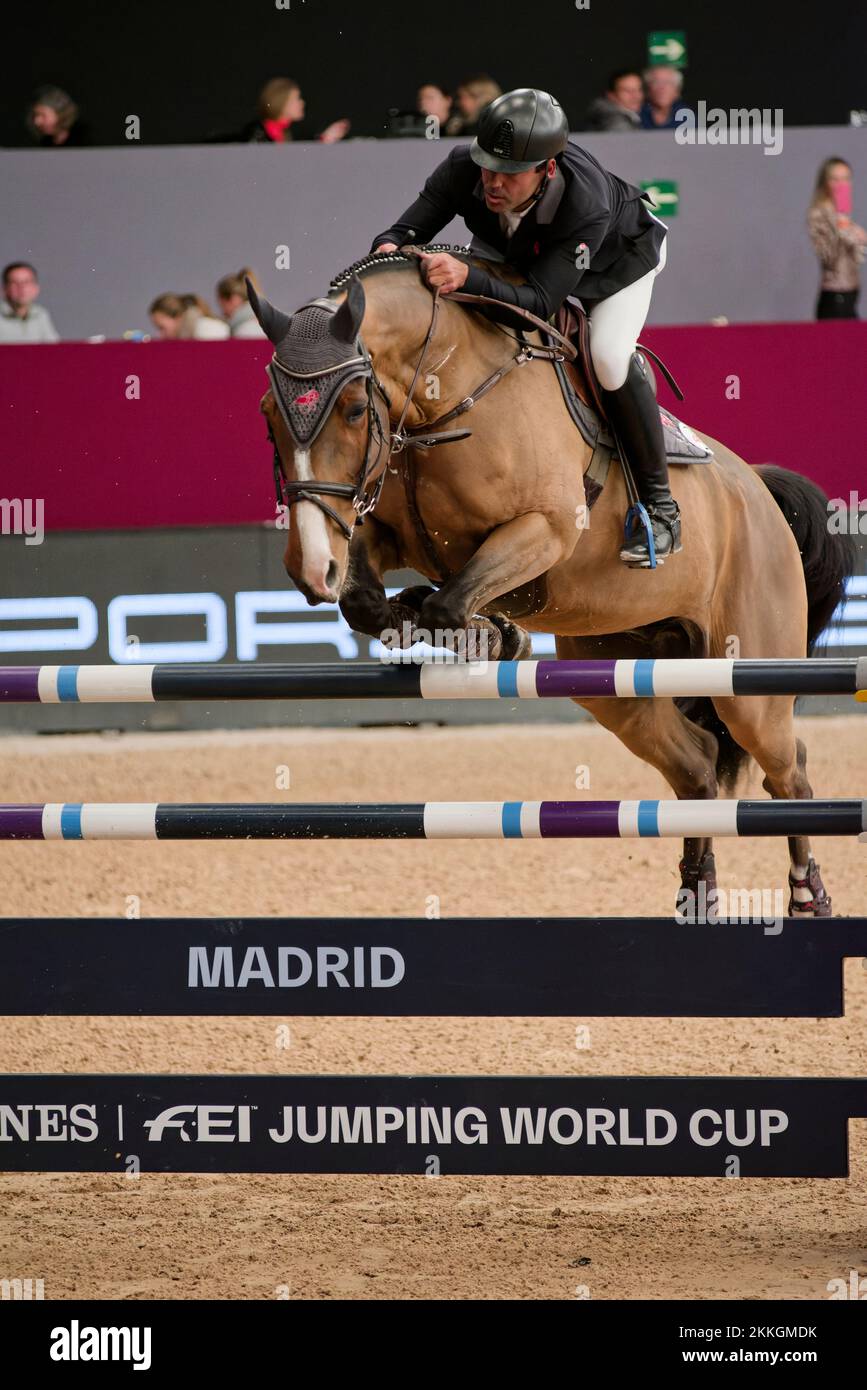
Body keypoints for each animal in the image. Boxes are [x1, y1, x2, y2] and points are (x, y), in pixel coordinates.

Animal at [249, 249, 853, 916]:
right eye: (268, 415)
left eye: (355, 410)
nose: (308, 569)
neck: (445, 397)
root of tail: (758, 489)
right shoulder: (378, 532)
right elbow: (367, 599)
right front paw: (452, 622)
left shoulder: (547, 529)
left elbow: (449, 603)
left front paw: (493, 634)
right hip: (612, 673)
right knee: (697, 762)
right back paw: (698, 892)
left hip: (745, 675)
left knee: (786, 767)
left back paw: (807, 896)